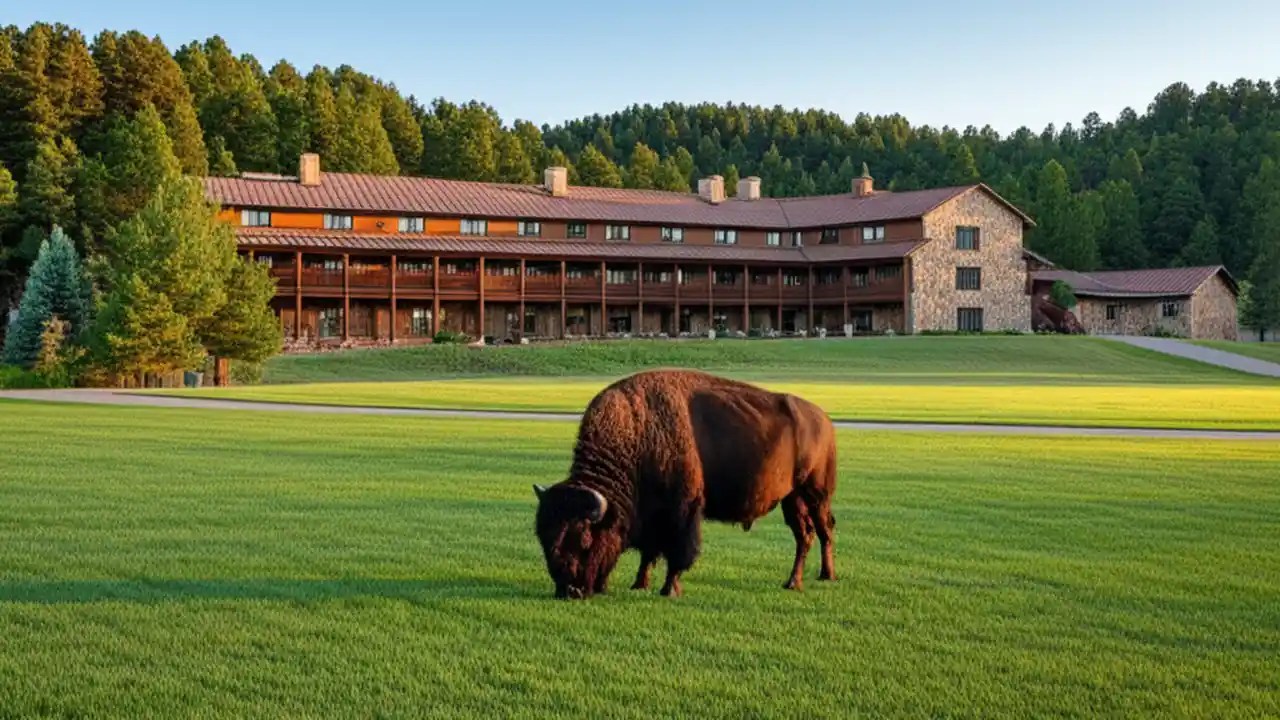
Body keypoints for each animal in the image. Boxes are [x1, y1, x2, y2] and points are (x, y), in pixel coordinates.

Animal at [533, 368, 838, 599]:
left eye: (585, 538)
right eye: (543, 538)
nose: (569, 590)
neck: (637, 436)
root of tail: (823, 419)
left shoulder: (683, 510)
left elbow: (678, 552)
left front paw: (669, 589)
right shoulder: (651, 515)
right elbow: (649, 551)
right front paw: (639, 584)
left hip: (816, 494)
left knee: (824, 531)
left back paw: (826, 575)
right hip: (792, 498)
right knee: (804, 535)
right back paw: (793, 582)